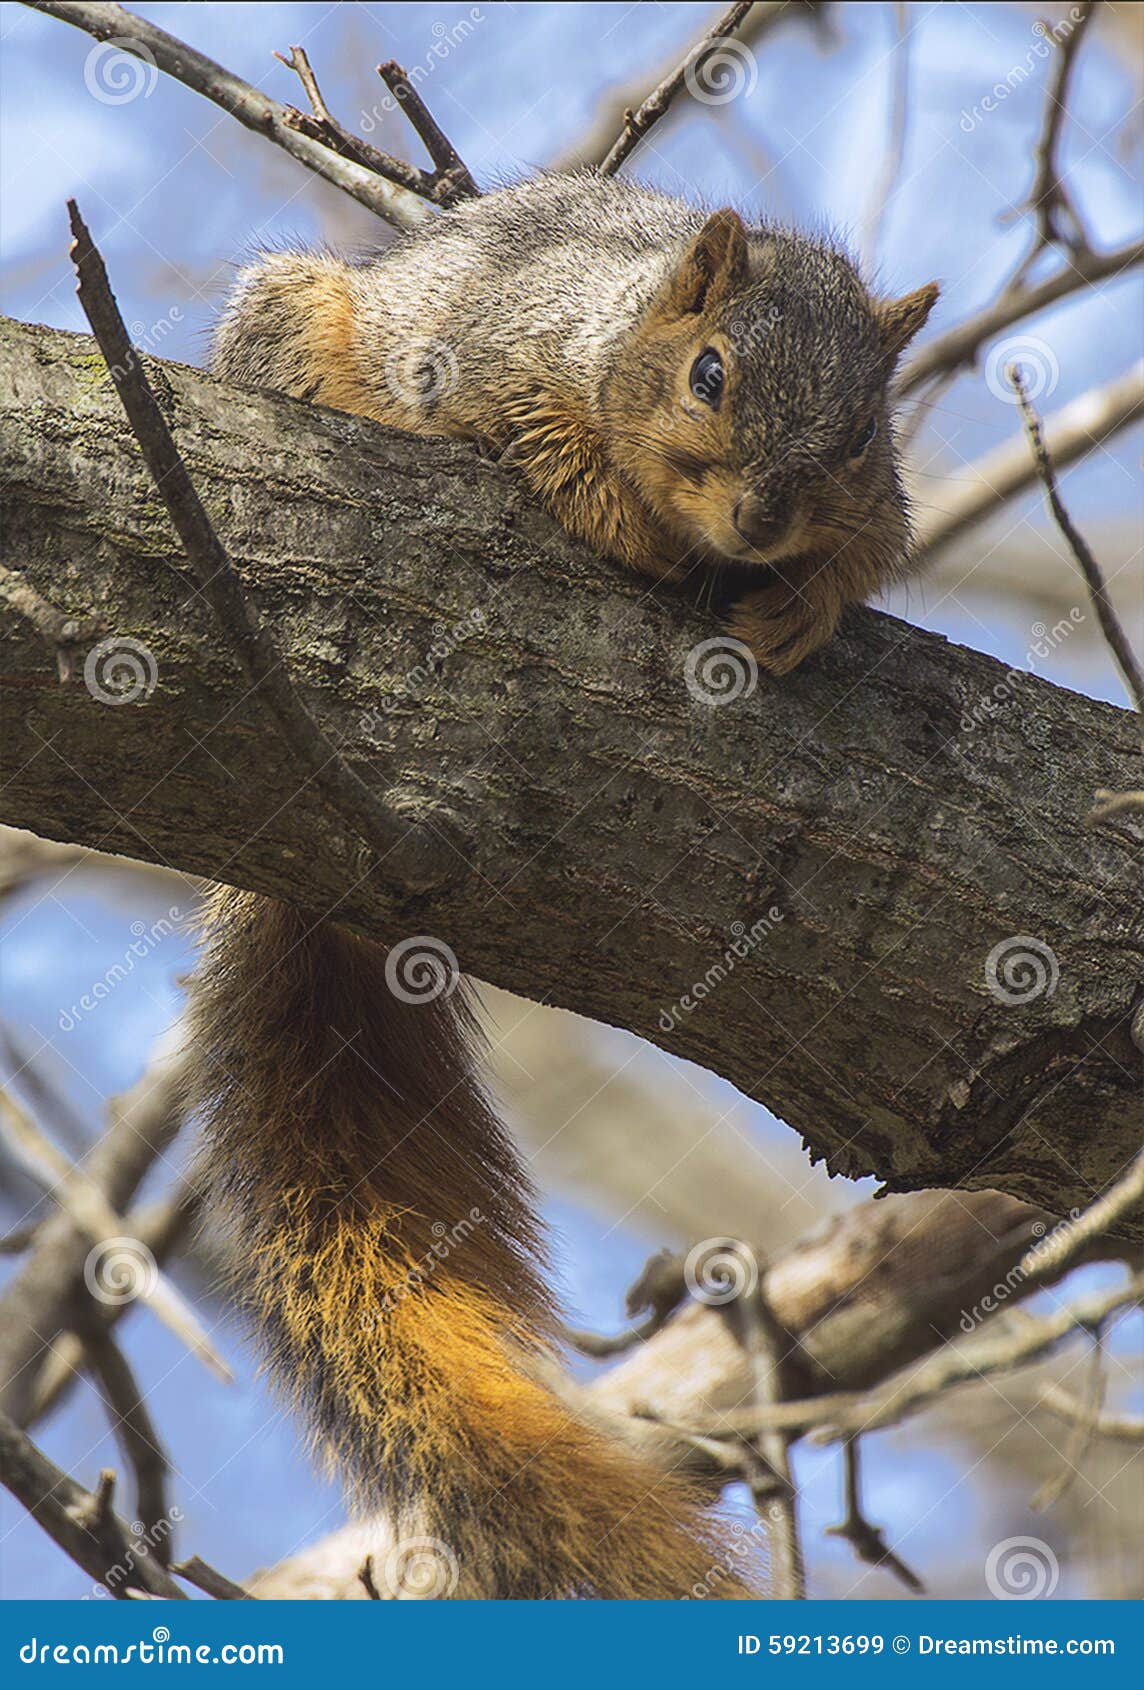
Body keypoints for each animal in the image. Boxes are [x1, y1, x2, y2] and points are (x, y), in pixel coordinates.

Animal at [195, 172, 938, 1598]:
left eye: (862, 437)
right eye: (709, 373)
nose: (760, 524)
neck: (618, 325)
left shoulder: (882, 506)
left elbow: (870, 555)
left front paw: (803, 600)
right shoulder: (498, 361)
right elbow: (549, 457)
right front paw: (628, 524)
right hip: (293, 316)